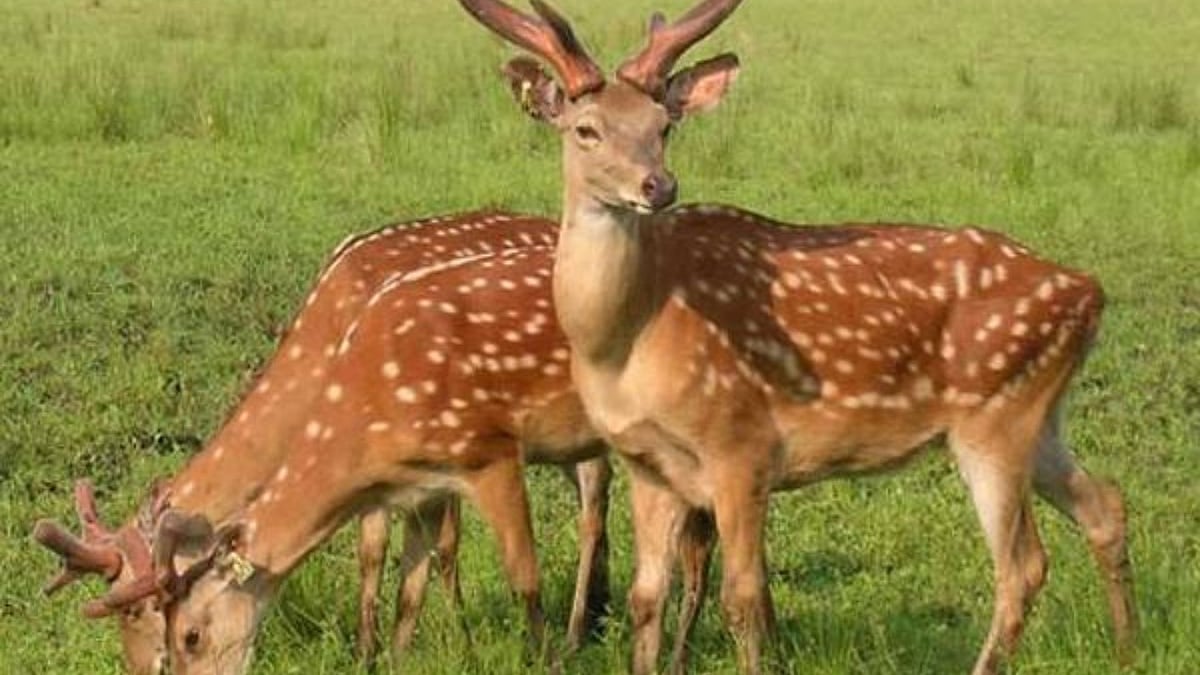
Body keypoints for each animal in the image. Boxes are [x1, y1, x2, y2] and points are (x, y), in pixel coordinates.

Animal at [34, 218, 716, 674]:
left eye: (139, 612)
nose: (139, 669)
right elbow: (384, 553)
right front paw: (374, 651)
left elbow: (406, 548)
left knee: (598, 505)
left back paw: (583, 631)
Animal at [456, 1, 1137, 673]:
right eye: (586, 129)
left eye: (663, 126)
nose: (659, 186)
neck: (625, 343)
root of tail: (1089, 290)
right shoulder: (649, 464)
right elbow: (646, 598)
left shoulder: (741, 444)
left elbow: (743, 598)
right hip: (1038, 416)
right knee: (1105, 505)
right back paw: (1128, 649)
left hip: (994, 418)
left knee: (1023, 565)